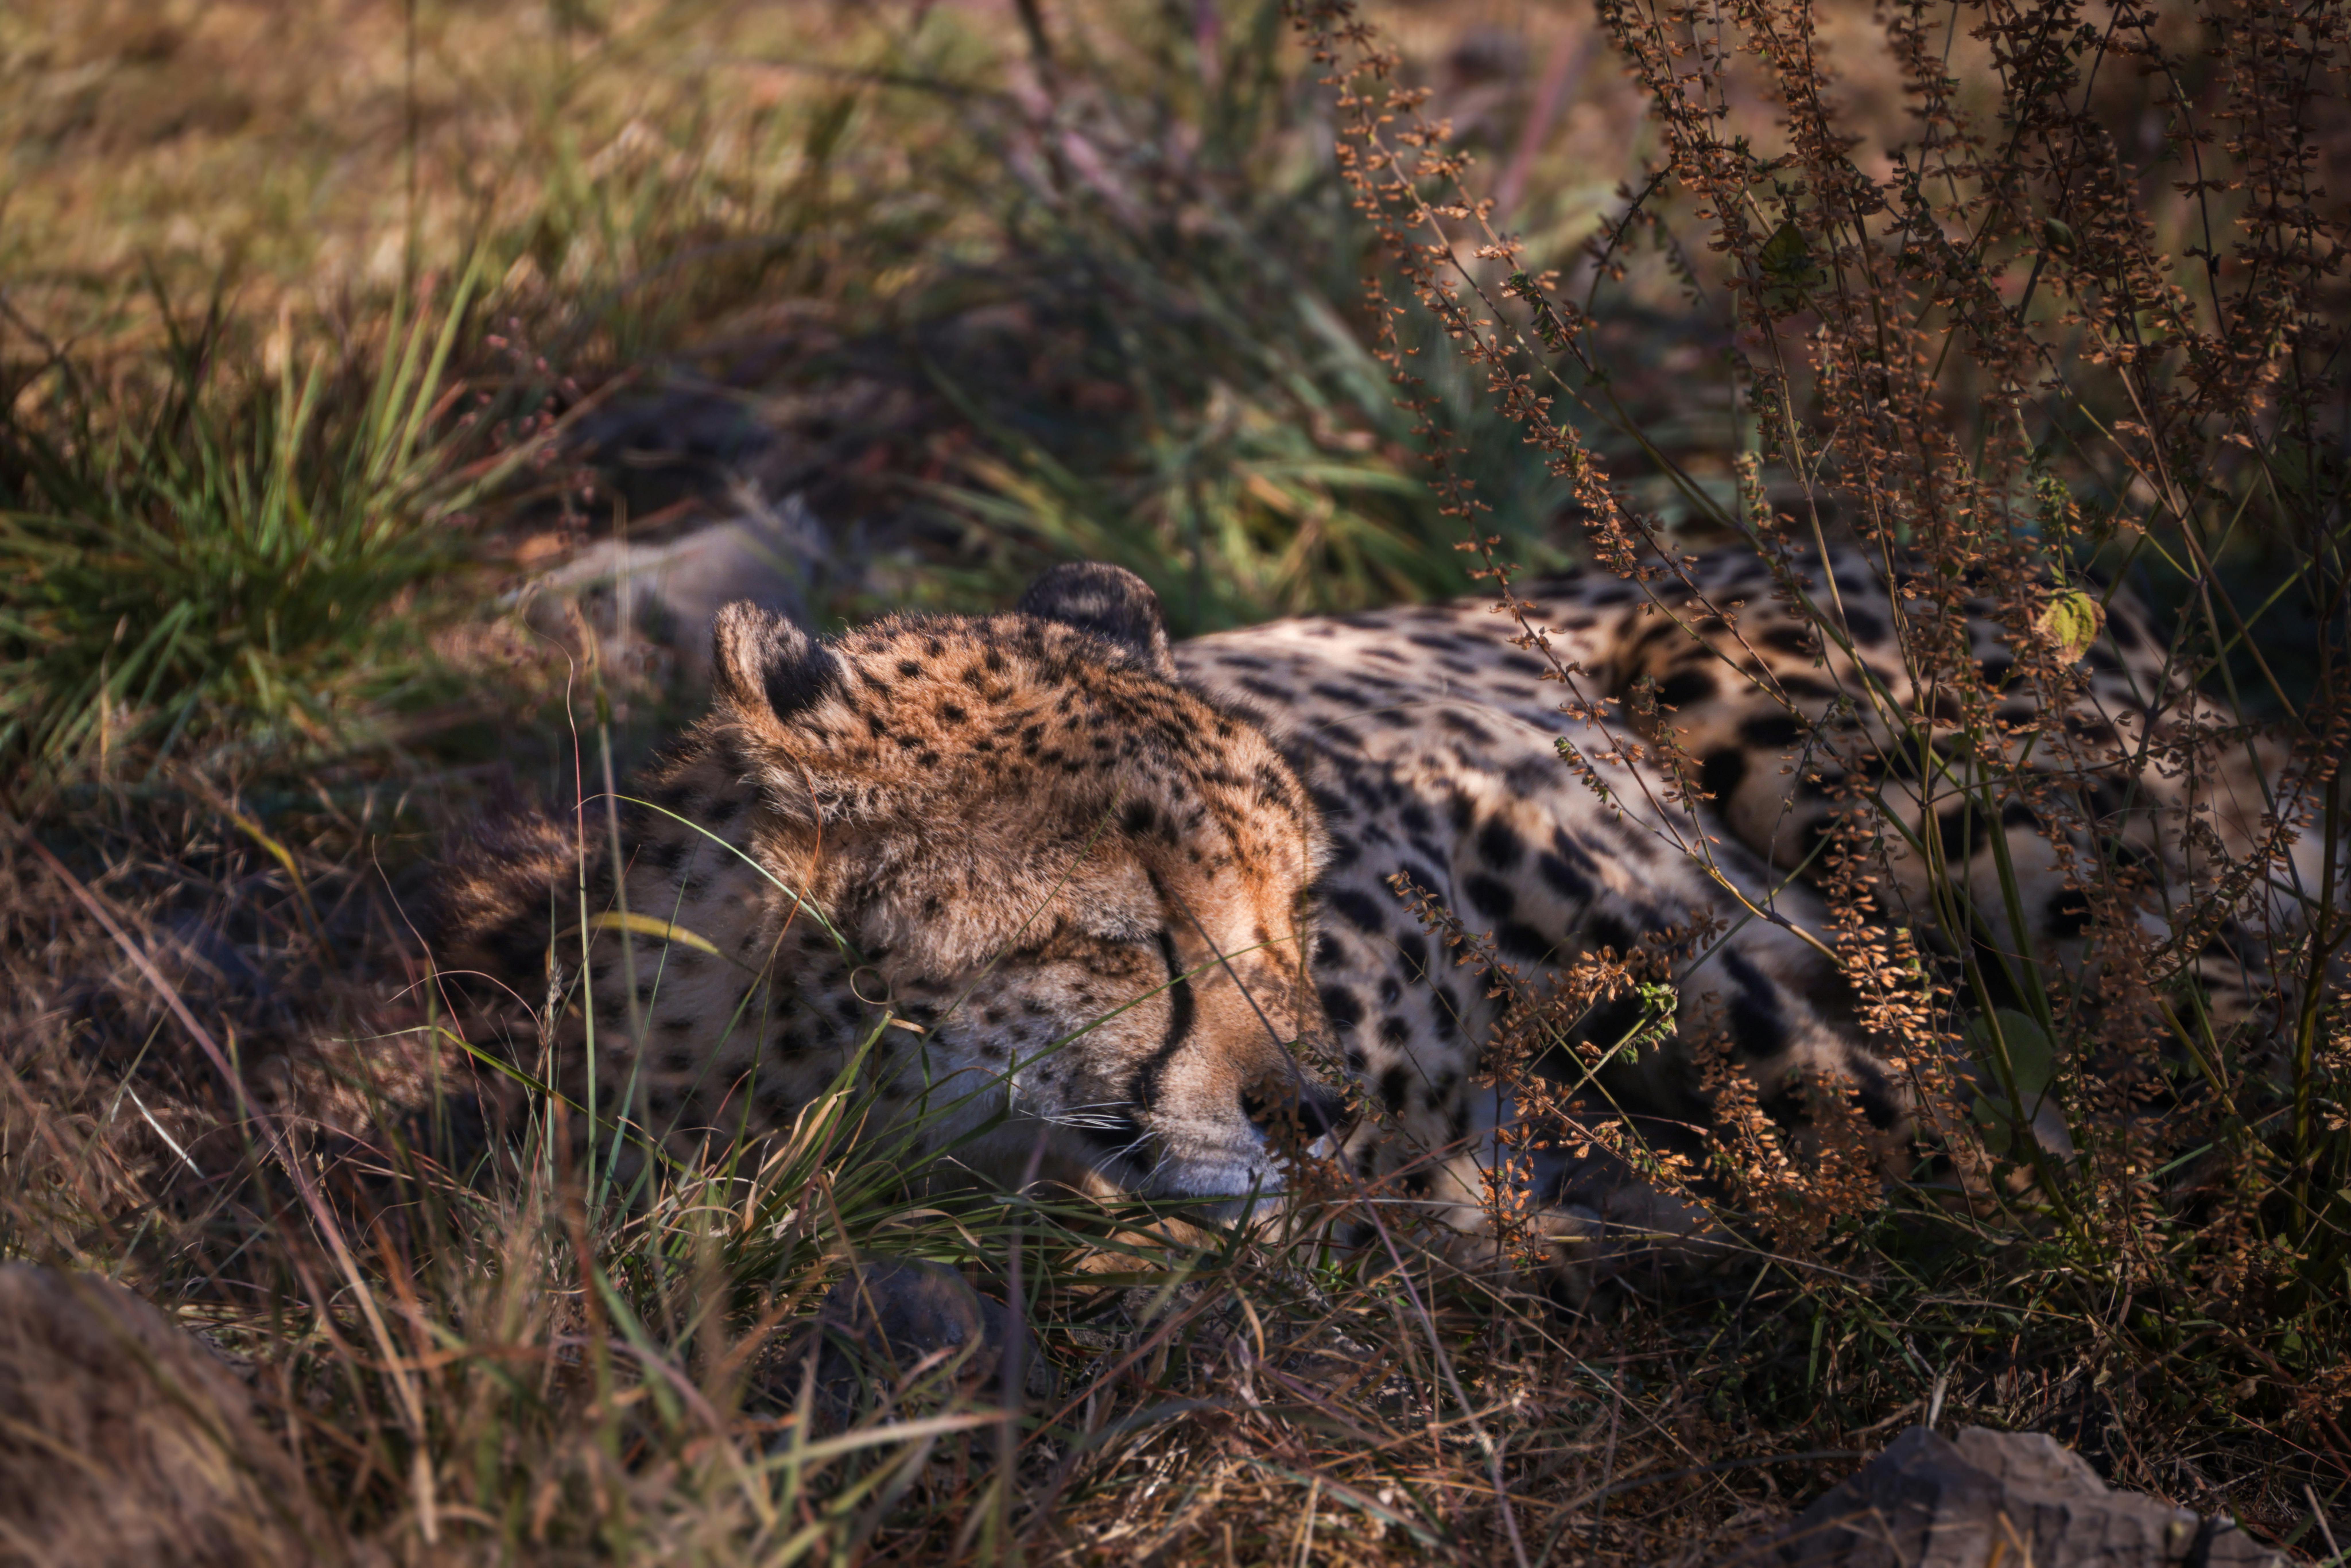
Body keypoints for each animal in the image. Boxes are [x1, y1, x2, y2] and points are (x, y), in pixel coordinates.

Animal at [438, 547, 2323, 1288]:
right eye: (1127, 934)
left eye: (1291, 895)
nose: (1311, 1104)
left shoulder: (1713, 959)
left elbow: (1915, 1129)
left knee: (2219, 1028)